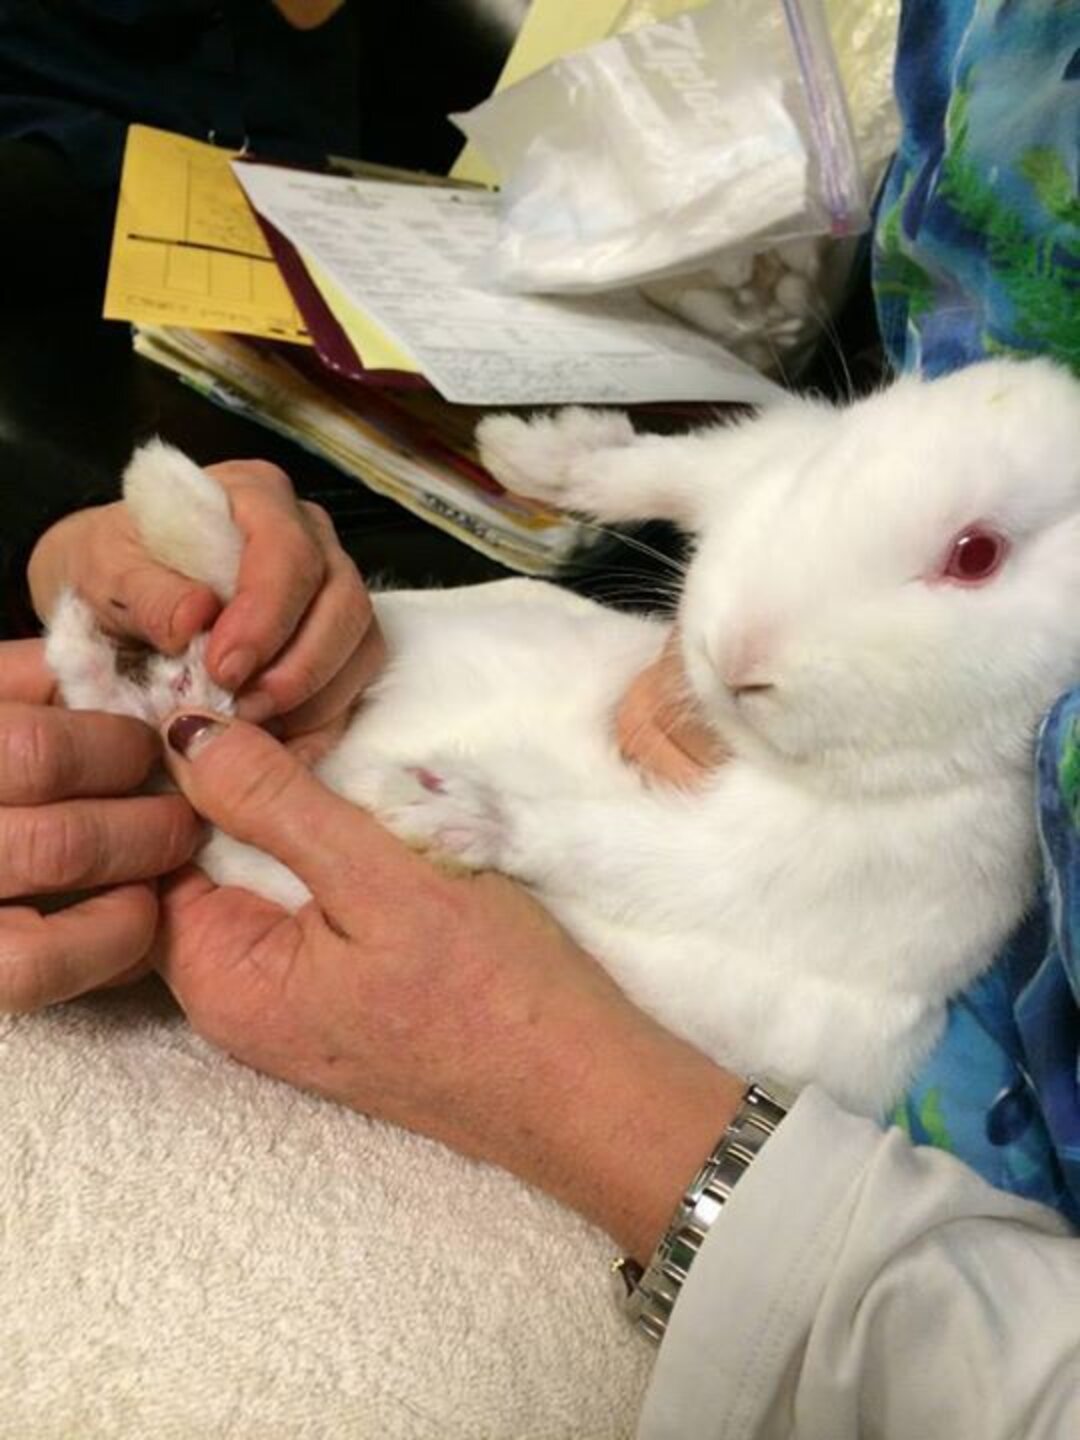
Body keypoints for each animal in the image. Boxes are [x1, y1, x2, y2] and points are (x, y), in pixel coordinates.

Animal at [45, 356, 1080, 1117]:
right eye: (835, 465)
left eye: (976, 555)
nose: (734, 655)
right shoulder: (748, 463)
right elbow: (659, 469)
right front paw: (526, 450)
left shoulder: (789, 857)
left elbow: (616, 848)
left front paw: (448, 811)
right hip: (401, 629)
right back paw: (174, 518)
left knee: (184, 761)